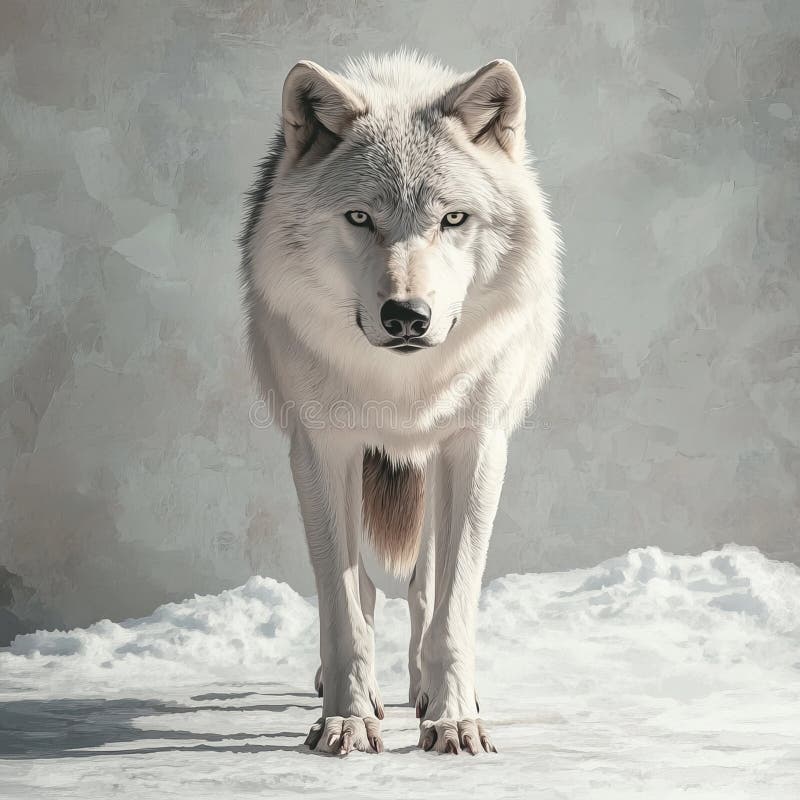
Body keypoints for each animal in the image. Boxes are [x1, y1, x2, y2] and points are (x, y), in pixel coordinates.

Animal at [239, 50, 562, 755]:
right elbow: (342, 606)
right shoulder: (322, 449)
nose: (407, 316)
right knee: (363, 588)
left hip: (435, 462)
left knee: (424, 587)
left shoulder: (476, 446)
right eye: (361, 218)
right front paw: (346, 718)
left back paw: (423, 689)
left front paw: (453, 718)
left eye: (453, 219)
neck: (402, 385)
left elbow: (451, 605)